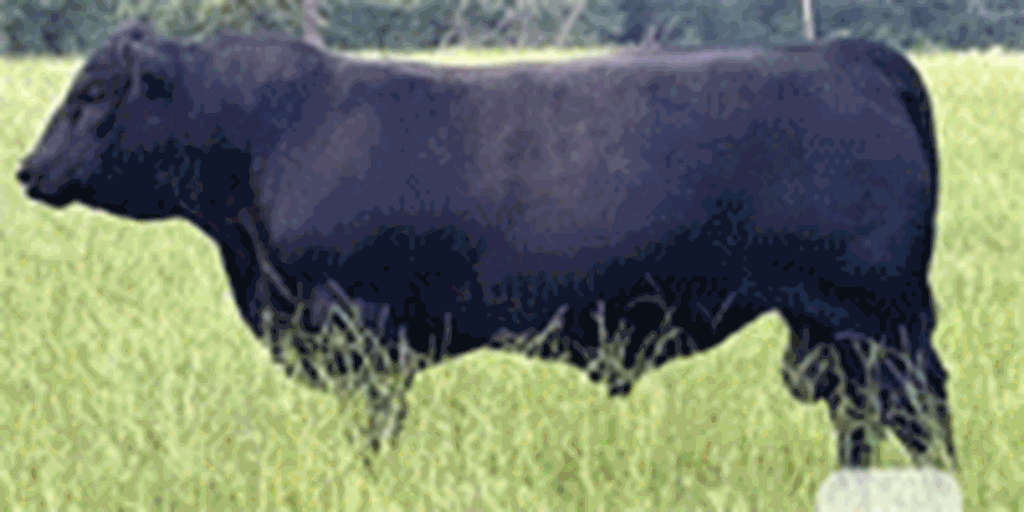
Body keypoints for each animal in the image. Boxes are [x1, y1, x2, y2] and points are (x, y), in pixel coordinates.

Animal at [17, 22, 955, 469]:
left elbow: (374, 428)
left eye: (93, 92)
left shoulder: (362, 324)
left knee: (921, 413)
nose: (27, 168)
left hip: (879, 318)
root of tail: (850, 56)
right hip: (834, 328)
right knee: (861, 418)